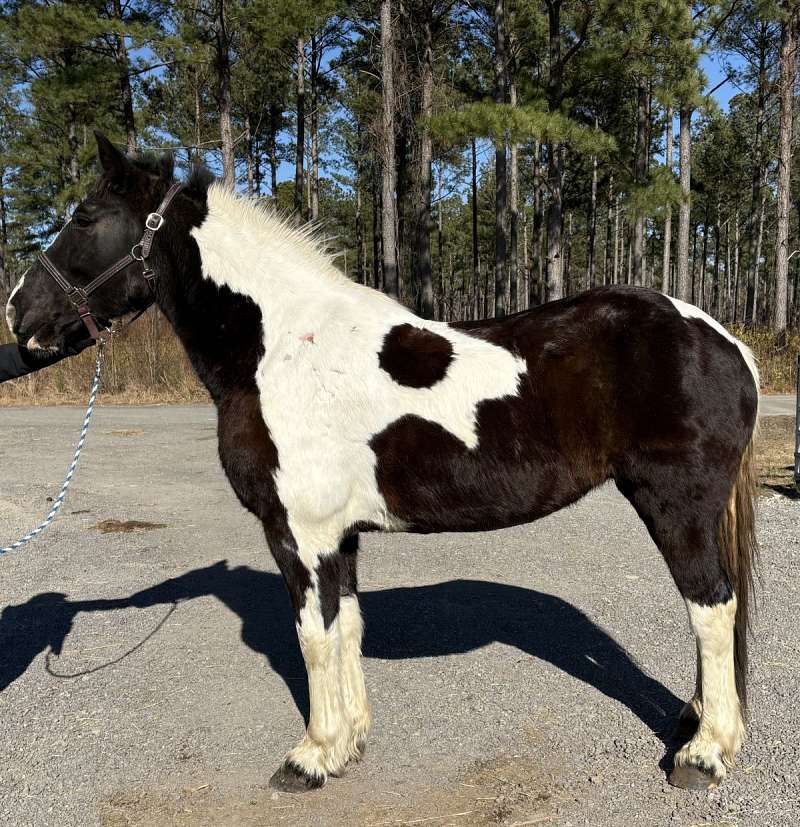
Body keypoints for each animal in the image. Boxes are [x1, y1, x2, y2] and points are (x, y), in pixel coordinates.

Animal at [6, 133, 759, 793]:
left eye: (84, 217)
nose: (19, 314)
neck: (278, 346)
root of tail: (722, 338)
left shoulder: (298, 533)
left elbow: (313, 637)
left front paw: (310, 757)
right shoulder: (337, 538)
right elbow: (346, 628)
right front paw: (346, 744)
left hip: (674, 505)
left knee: (712, 607)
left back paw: (705, 753)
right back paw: (695, 722)